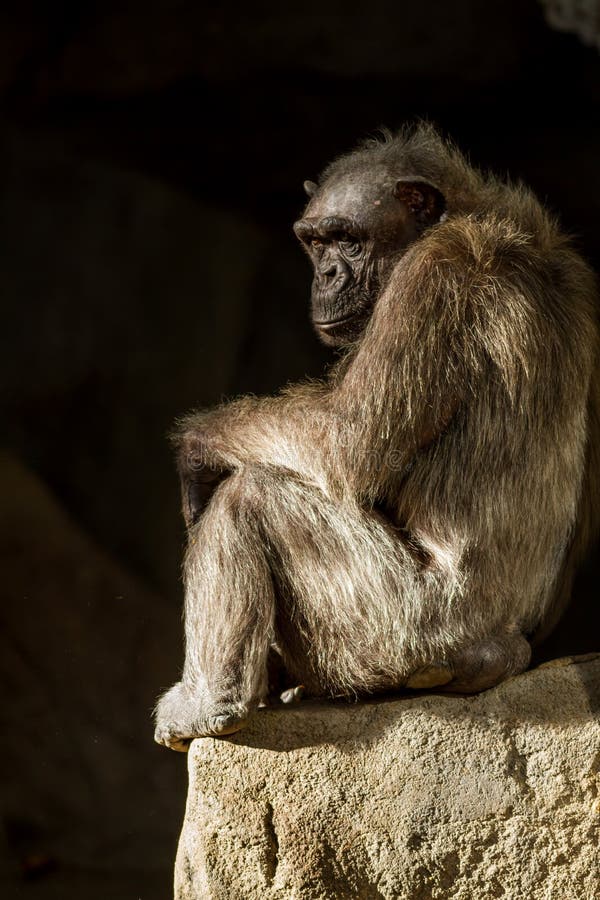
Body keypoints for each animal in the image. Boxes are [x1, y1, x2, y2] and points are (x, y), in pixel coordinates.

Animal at [155, 124, 600, 752]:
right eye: (315, 242)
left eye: (349, 240)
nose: (326, 275)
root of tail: (503, 652)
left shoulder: (433, 277)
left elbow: (349, 438)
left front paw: (196, 448)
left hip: (400, 625)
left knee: (252, 497)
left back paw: (207, 706)